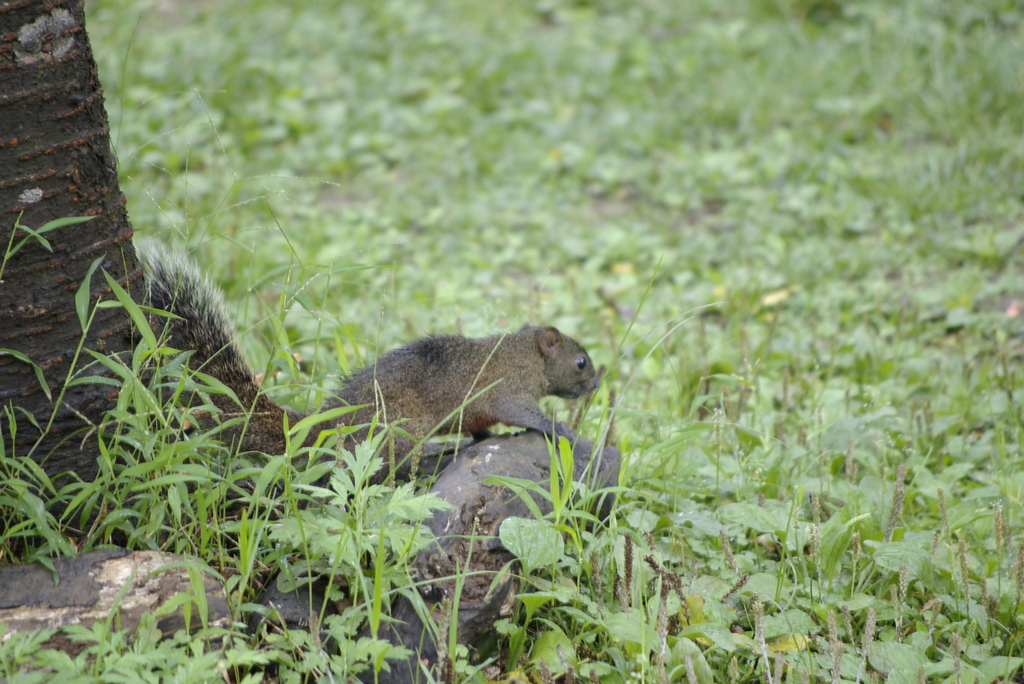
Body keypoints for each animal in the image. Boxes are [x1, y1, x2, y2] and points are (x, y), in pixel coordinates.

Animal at [140, 247, 600, 467]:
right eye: (581, 362)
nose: (597, 384)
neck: (527, 355)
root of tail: (322, 428)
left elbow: (480, 430)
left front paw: (485, 439)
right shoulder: (510, 390)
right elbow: (526, 415)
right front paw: (565, 431)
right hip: (400, 430)